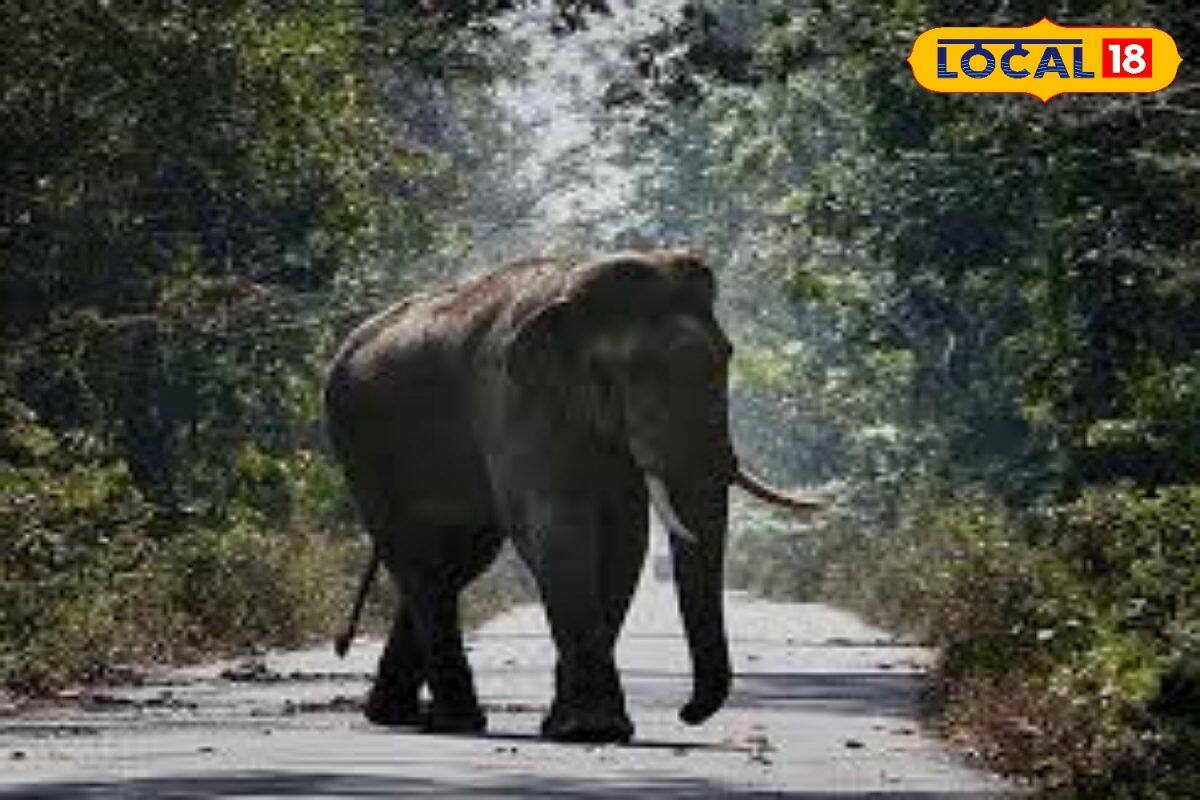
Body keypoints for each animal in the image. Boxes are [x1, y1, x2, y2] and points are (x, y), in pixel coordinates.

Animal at [324, 249, 822, 743]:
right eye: (636, 375)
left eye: (728, 355)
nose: (687, 713)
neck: (574, 288)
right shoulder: (514, 402)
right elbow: (558, 527)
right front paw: (591, 730)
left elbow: (626, 537)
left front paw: (584, 727)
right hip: (361, 451)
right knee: (420, 563)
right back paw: (453, 722)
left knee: (456, 561)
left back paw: (401, 716)